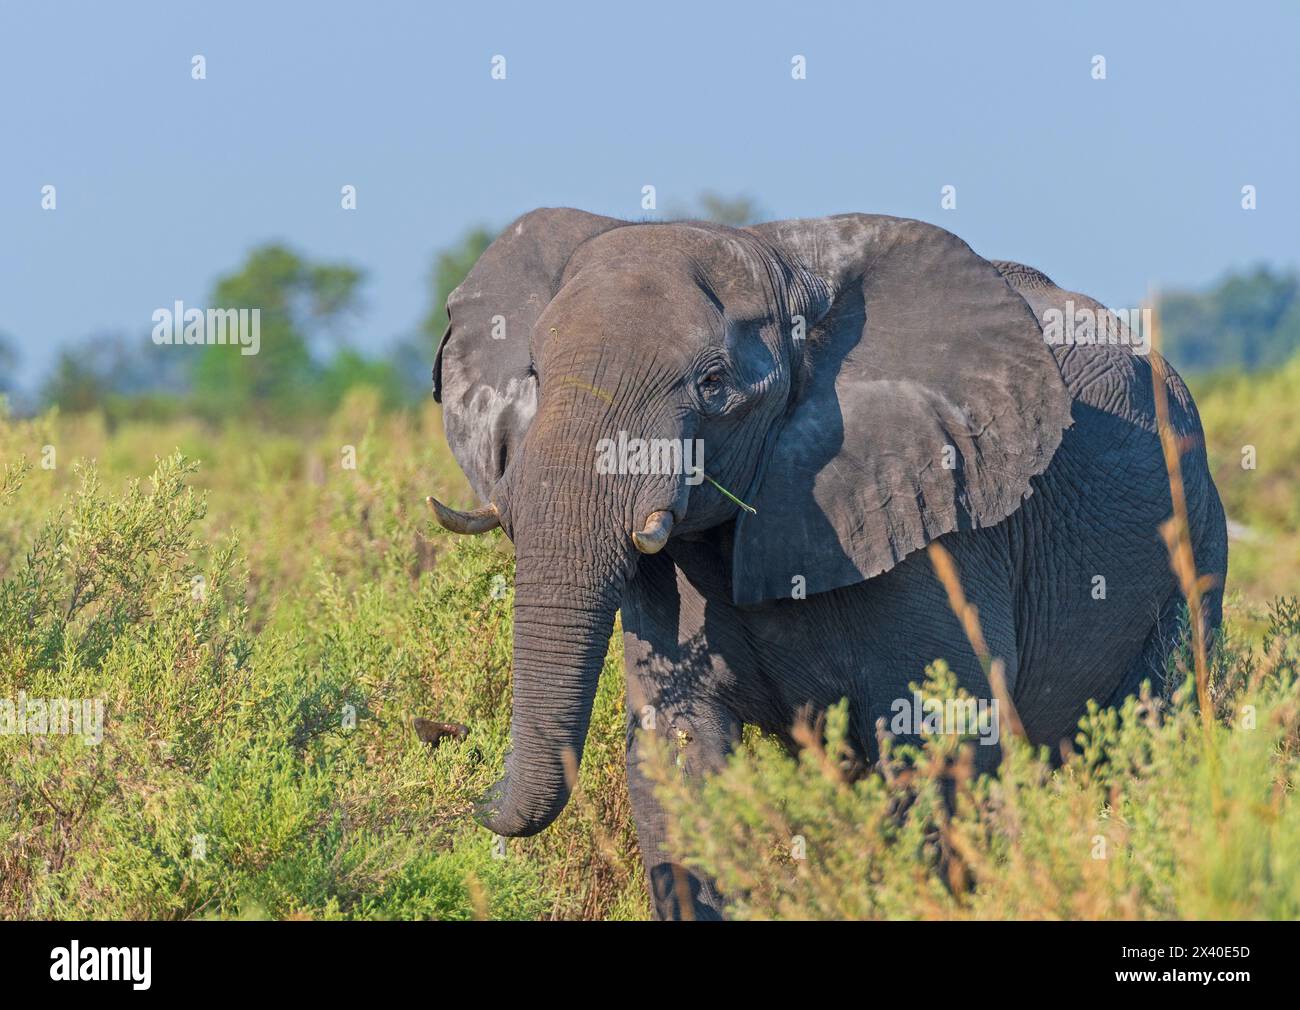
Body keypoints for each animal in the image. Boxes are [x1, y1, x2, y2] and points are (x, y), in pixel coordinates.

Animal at [430, 208, 1227, 920]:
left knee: (1149, 738)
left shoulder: (941, 521)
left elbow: (937, 742)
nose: (449, 756)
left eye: (713, 384)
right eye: (535, 373)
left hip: (1194, 547)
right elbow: (678, 753)